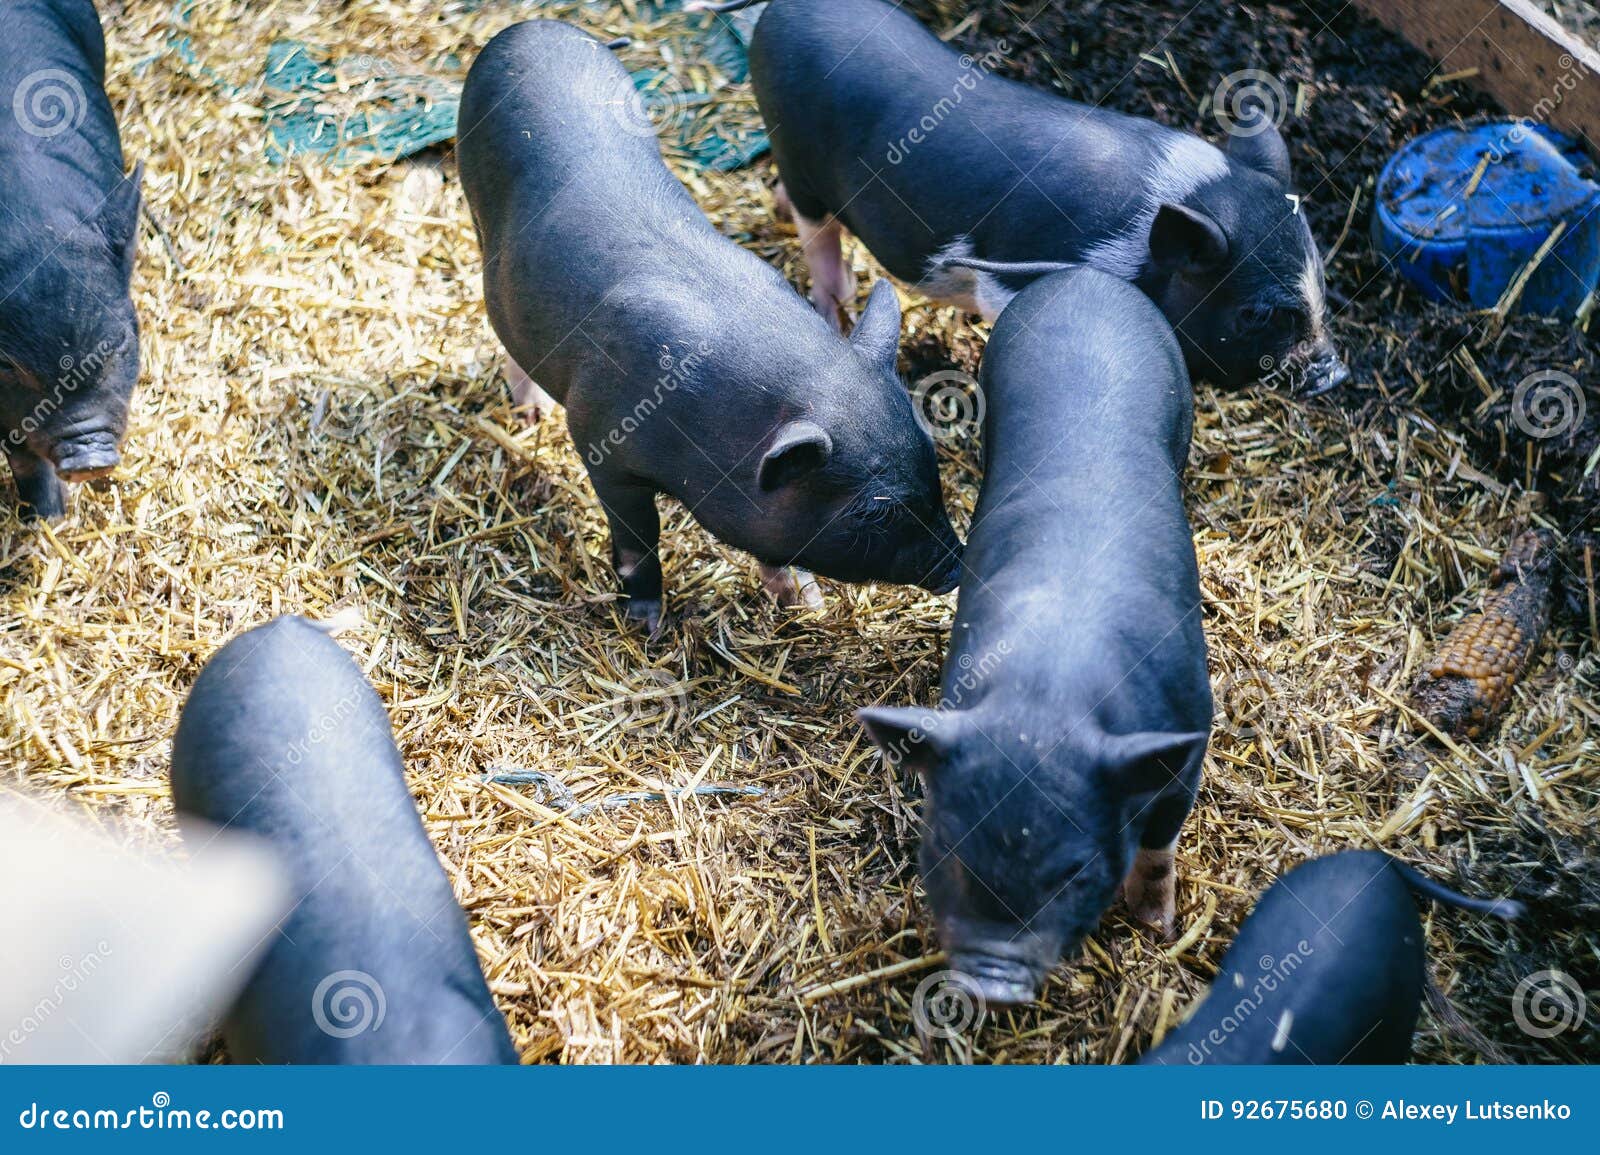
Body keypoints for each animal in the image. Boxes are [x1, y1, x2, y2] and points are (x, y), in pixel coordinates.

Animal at [456, 20, 962, 635]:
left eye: (933, 460)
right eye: (874, 513)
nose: (956, 565)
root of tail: (529, 27)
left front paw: (805, 602)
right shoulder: (600, 444)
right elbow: (637, 542)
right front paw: (648, 625)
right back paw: (530, 414)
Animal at [686, 0, 1348, 395]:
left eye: (1321, 281)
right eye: (1256, 314)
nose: (1333, 373)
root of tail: (783, 8)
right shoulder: (1008, 273)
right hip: (796, 153)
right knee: (816, 230)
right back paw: (837, 305)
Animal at [859, 267, 1212, 1006]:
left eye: (1073, 873)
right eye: (949, 852)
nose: (991, 980)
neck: (1046, 695)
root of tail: (1084, 278)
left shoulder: (1188, 745)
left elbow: (1160, 847)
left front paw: (1157, 926)